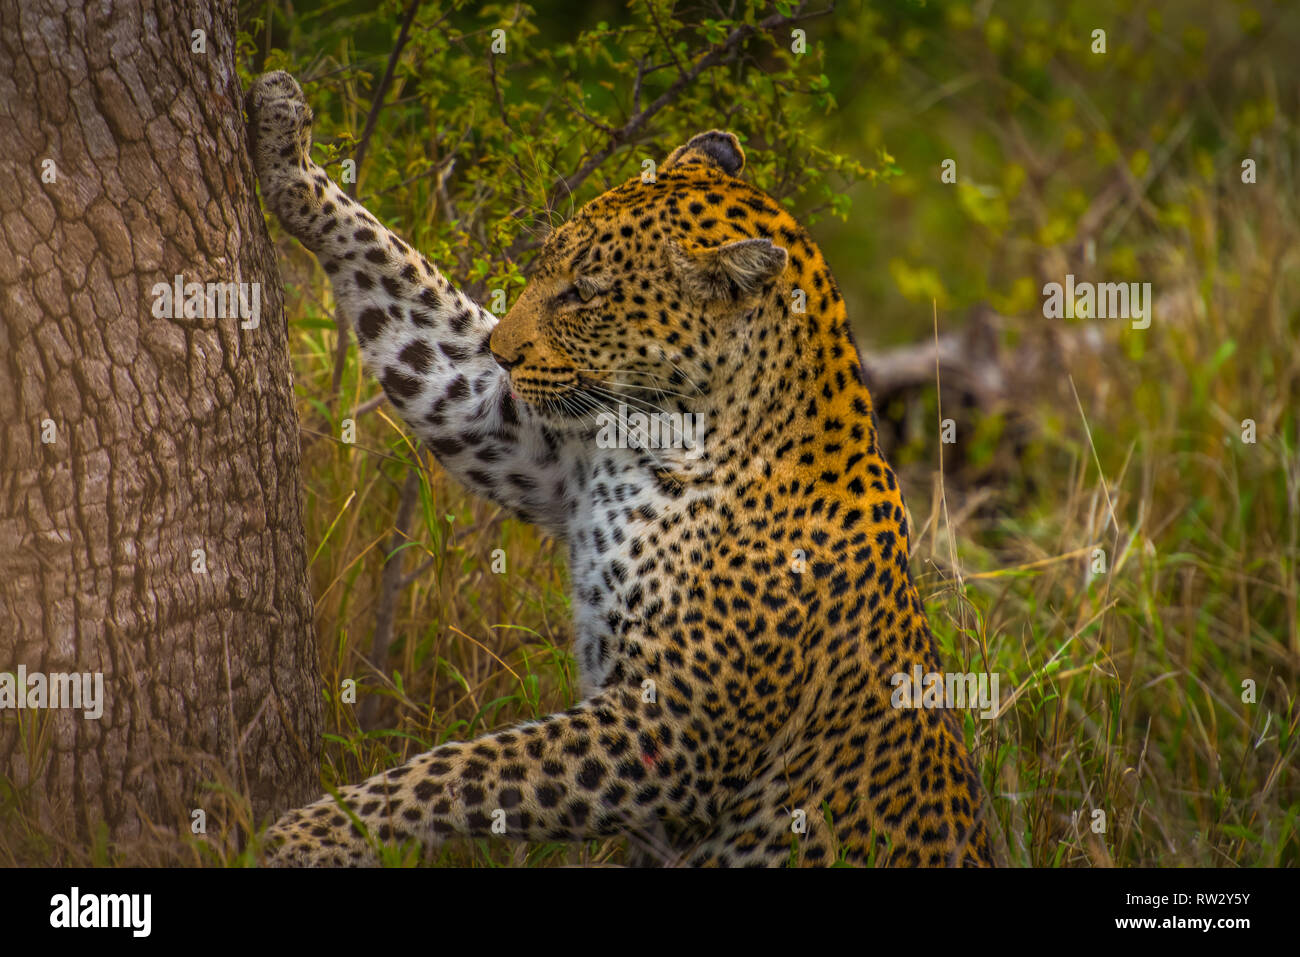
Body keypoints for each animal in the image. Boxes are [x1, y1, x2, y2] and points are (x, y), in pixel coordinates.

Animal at [246, 69, 992, 867]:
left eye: (586, 292)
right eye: (548, 267)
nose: (501, 353)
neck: (672, 430)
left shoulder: (670, 728)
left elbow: (471, 768)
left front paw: (312, 832)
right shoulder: (515, 433)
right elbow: (404, 290)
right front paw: (285, 139)